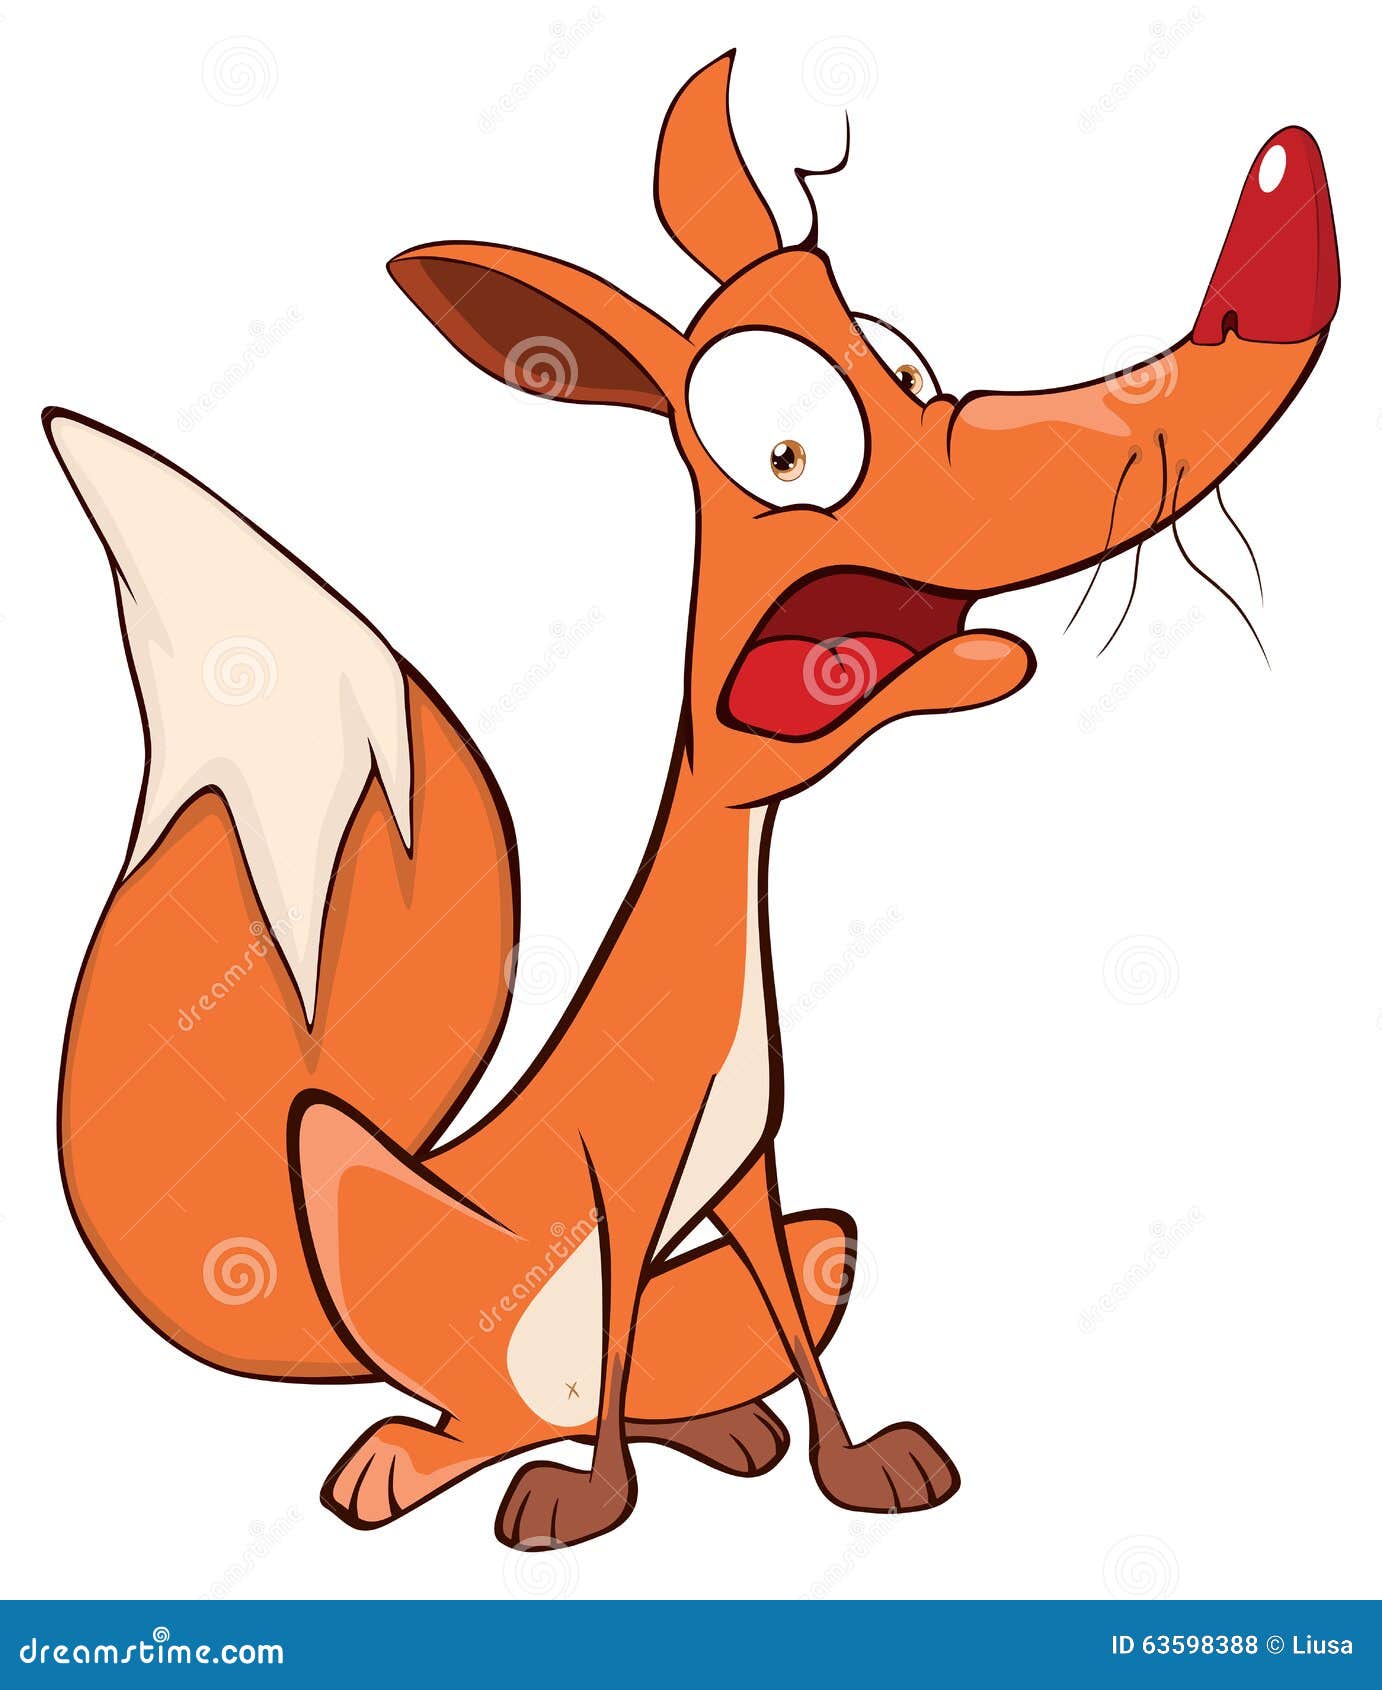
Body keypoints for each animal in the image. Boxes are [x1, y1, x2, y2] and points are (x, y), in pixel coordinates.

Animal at [50, 53, 1337, 1551]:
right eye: (783, 458)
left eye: (908, 369)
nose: (1280, 179)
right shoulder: (623, 1172)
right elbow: (610, 1333)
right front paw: (596, 1499)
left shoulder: (750, 1170)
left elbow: (780, 1305)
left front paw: (850, 1463)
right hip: (362, 1203)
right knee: (491, 1397)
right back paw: (428, 1459)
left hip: (795, 1242)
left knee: (693, 1337)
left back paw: (713, 1428)